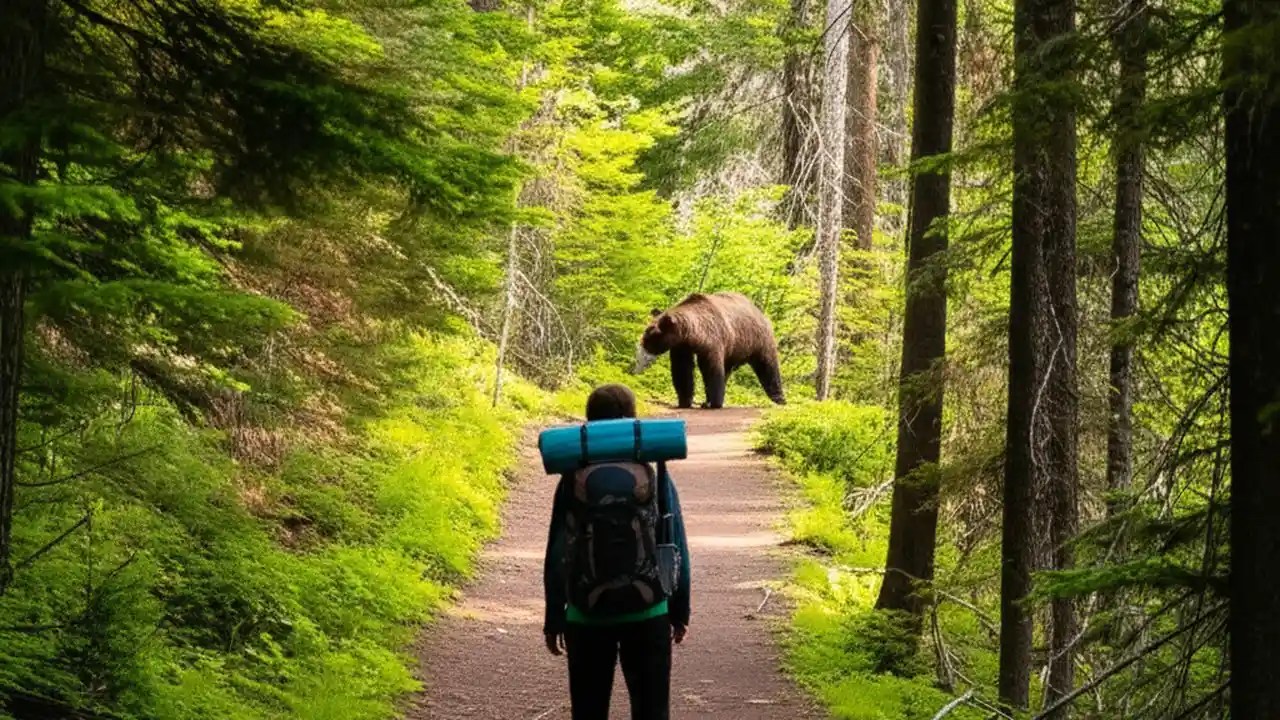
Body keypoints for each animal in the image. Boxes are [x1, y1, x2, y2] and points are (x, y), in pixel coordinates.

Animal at [632, 292, 786, 409]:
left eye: (649, 335)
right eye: (646, 333)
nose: (642, 345)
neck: (693, 335)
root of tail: (759, 311)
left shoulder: (712, 342)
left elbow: (712, 370)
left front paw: (714, 403)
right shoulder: (681, 347)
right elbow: (682, 371)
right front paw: (684, 401)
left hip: (756, 339)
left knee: (768, 365)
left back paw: (779, 398)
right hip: (733, 350)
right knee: (728, 371)